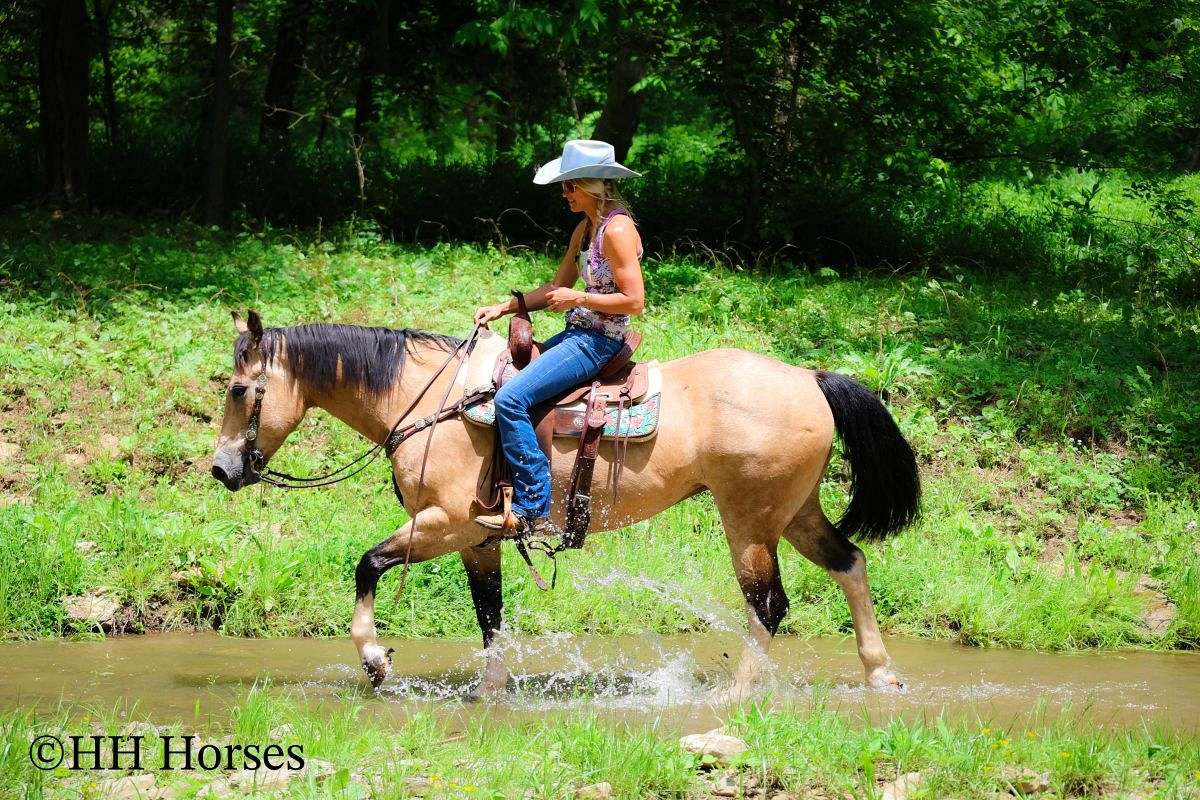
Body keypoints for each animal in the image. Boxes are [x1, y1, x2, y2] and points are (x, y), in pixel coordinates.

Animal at [210, 310, 920, 698]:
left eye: (242, 390)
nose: (220, 468)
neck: (431, 400)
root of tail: (809, 379)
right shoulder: (480, 539)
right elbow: (490, 616)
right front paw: (491, 691)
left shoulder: (446, 523)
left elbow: (369, 564)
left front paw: (375, 660)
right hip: (793, 513)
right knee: (850, 564)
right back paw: (880, 673)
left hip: (748, 521)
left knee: (768, 605)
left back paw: (736, 696)